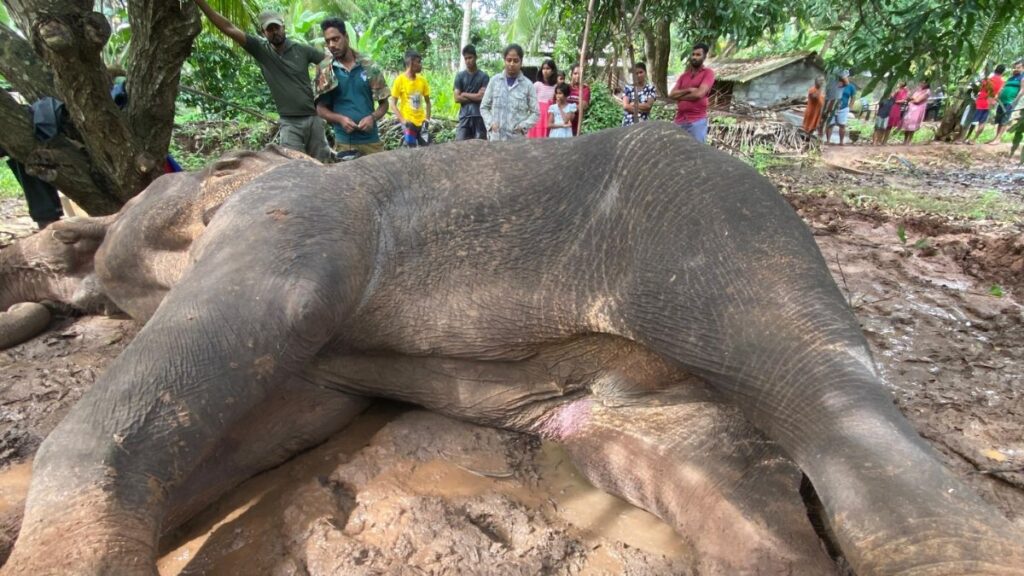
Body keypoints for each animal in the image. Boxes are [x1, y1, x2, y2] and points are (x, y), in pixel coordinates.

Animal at [0, 122, 1021, 575]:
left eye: (98, 229)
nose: (54, 250)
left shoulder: (300, 216)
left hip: (719, 225)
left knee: (832, 412)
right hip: (647, 412)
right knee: (731, 492)